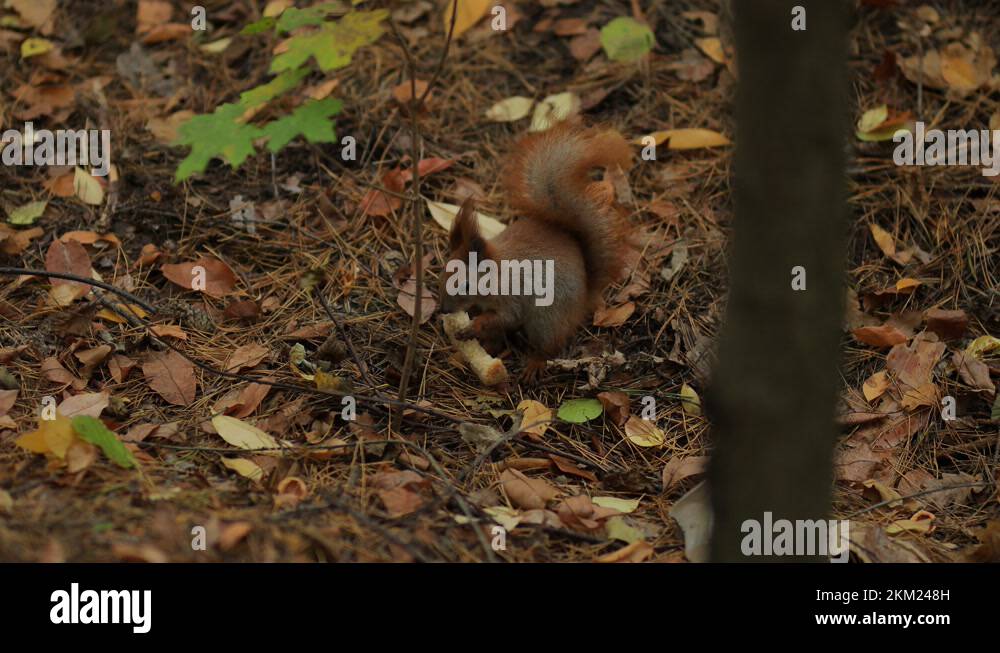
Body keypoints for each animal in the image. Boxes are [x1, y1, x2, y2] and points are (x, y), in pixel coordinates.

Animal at [440, 121, 634, 382]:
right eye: (443, 273)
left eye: (467, 285)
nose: (443, 309)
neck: (498, 274)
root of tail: (584, 296)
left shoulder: (512, 296)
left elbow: (505, 317)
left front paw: (473, 326)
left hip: (546, 320)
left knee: (548, 346)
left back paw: (534, 363)